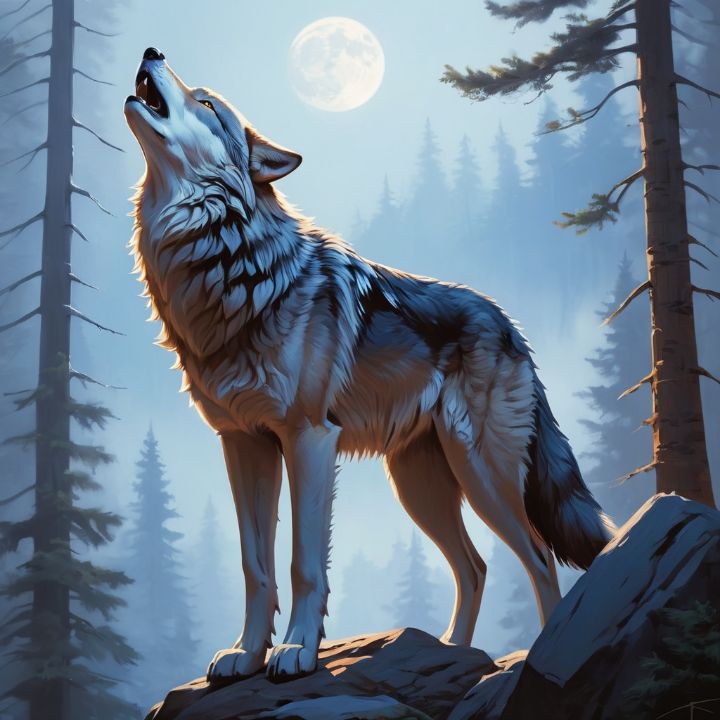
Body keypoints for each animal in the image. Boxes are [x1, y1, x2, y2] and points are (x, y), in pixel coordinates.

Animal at [124, 47, 615, 683]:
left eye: (206, 103)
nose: (152, 51)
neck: (229, 266)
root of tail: (510, 325)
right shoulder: (242, 443)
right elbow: (255, 567)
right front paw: (246, 654)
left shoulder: (308, 438)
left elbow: (303, 565)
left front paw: (296, 651)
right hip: (419, 487)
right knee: (475, 566)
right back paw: (454, 653)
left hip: (482, 474)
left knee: (538, 557)